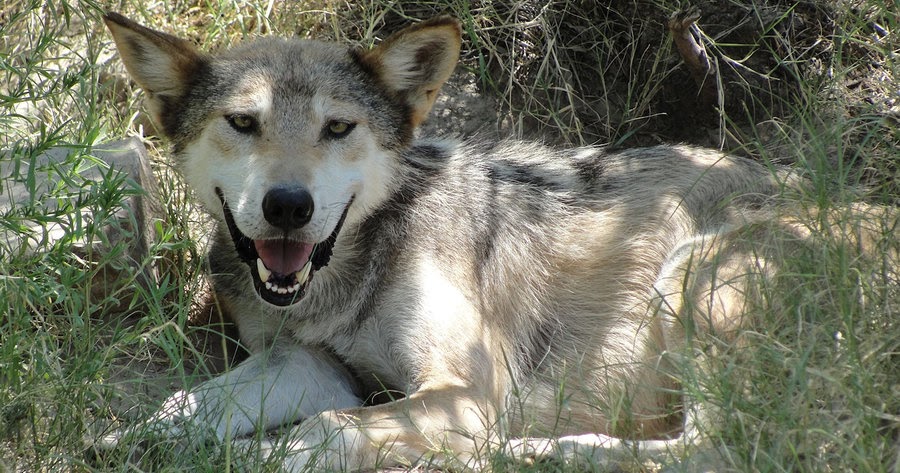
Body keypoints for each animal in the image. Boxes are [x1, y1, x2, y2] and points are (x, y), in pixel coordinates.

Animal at [103, 12, 817, 470]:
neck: (348, 279)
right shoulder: (310, 365)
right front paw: (120, 439)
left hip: (694, 273)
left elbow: (319, 434)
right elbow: (183, 404)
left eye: (338, 128)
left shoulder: (464, 396)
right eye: (243, 123)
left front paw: (244, 457)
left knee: (727, 449)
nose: (287, 206)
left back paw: (535, 455)